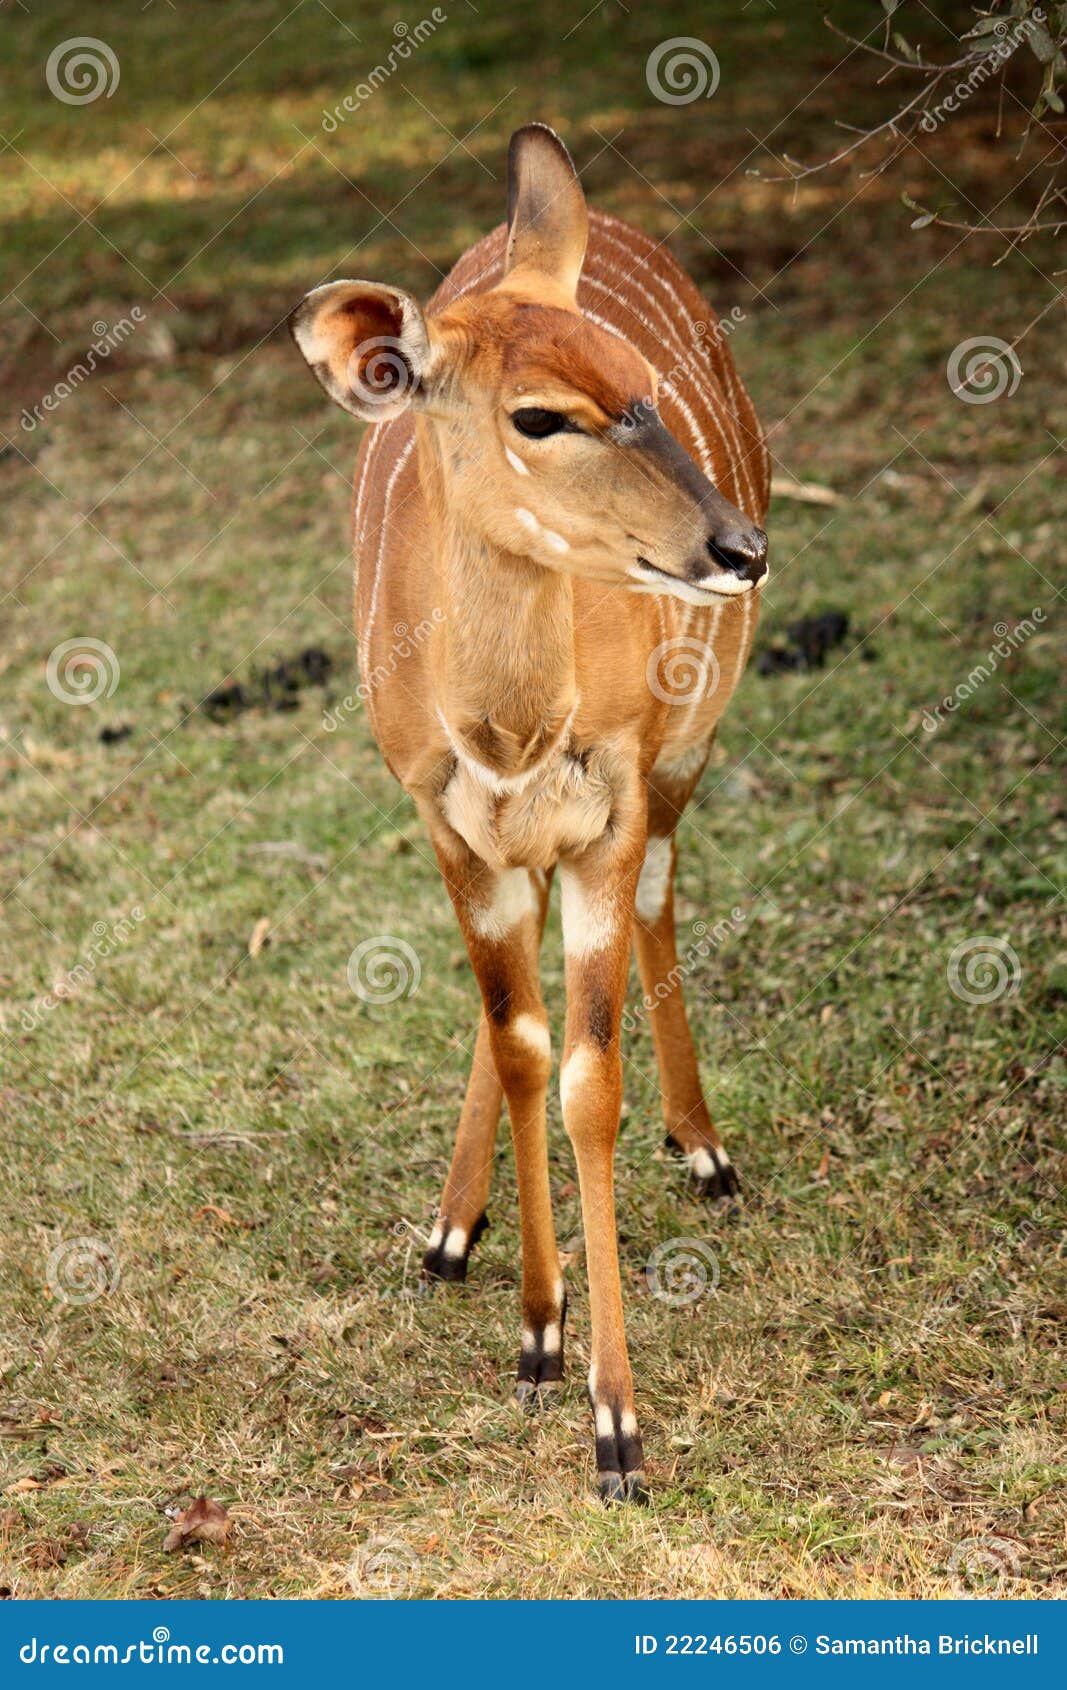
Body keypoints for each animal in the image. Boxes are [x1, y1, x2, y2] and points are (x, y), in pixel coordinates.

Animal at [291, 123, 769, 1503]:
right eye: (538, 416)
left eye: (642, 388)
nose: (737, 546)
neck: (508, 728)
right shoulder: (448, 822)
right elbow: (519, 1045)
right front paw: (534, 1331)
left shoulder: (610, 802)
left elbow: (586, 1082)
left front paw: (615, 1425)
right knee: (516, 1015)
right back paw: (454, 1227)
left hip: (681, 756)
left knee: (660, 896)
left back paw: (704, 1150)